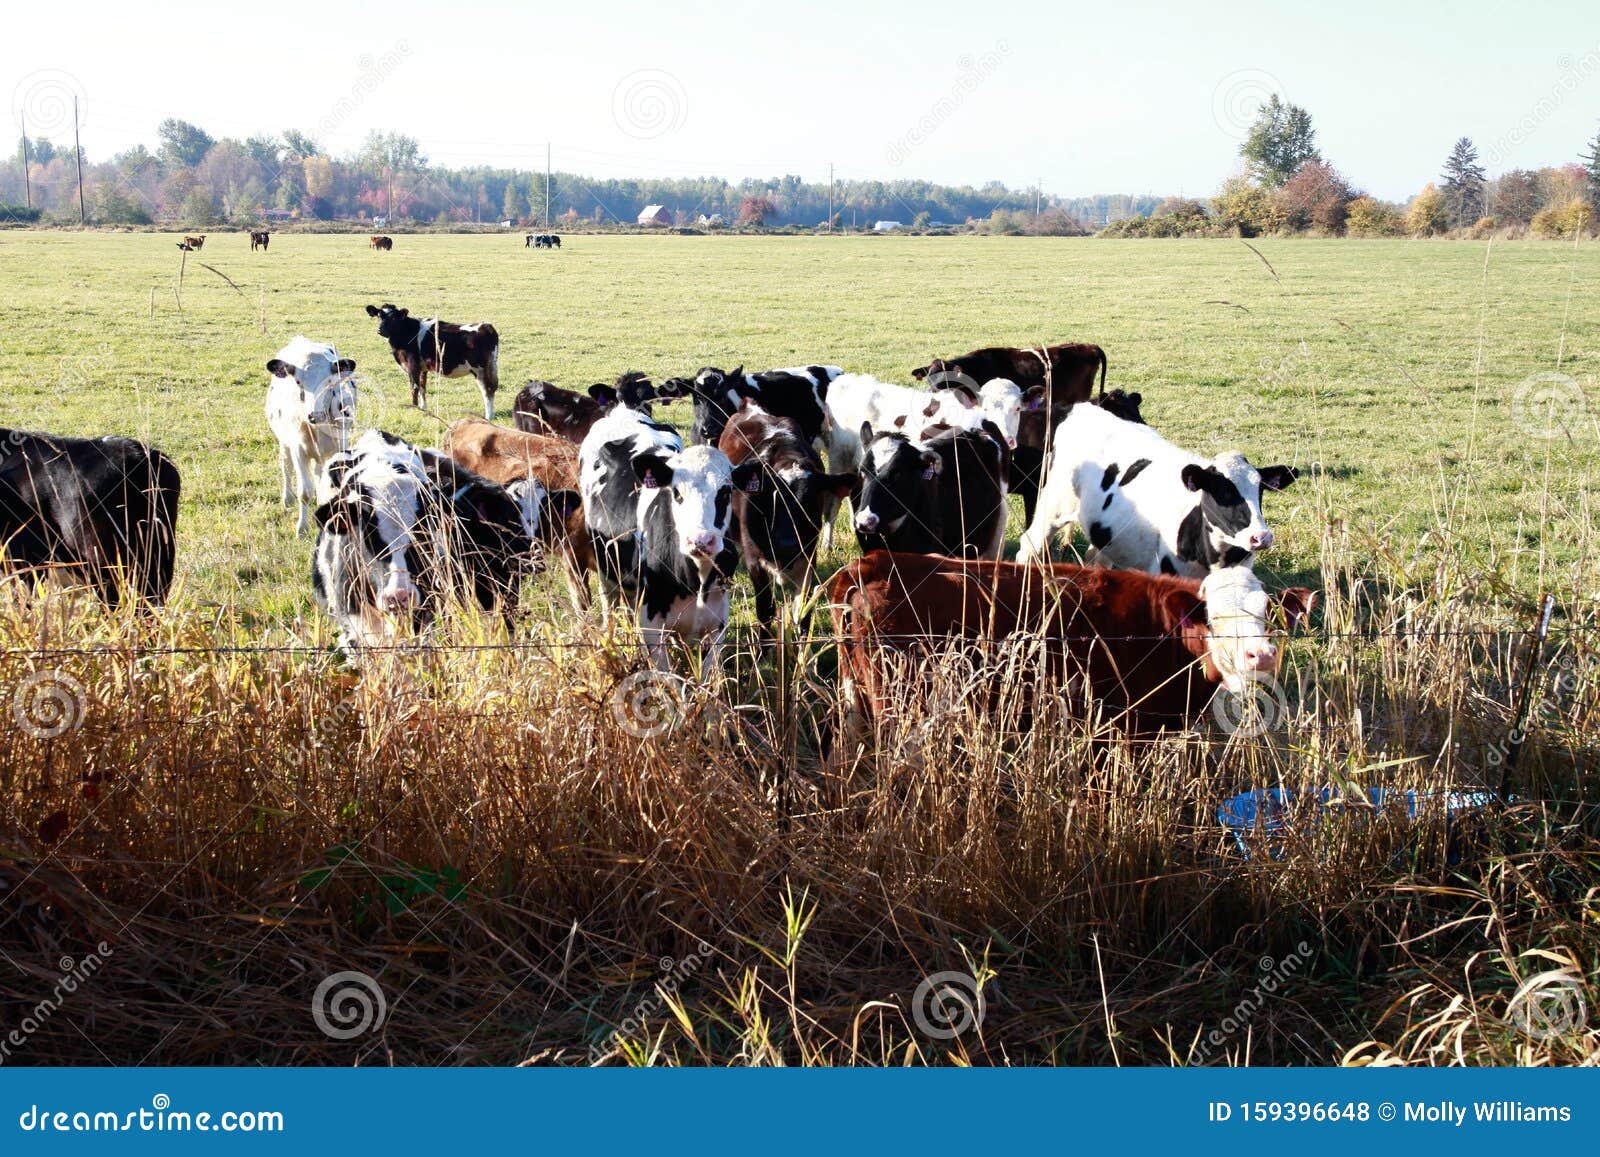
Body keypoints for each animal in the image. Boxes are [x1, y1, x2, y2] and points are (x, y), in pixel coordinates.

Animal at [265, 336, 358, 536]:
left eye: (330, 381)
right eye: (298, 382)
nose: (315, 415)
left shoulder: (340, 445)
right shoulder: (298, 450)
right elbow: (305, 492)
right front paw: (302, 528)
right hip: (284, 442)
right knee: (286, 466)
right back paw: (288, 498)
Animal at [365, 303, 501, 420]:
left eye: (393, 318)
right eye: (379, 316)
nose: (380, 330)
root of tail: (486, 326)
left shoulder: (412, 365)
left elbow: (414, 387)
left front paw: (414, 408)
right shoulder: (422, 368)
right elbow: (422, 387)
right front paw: (423, 408)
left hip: (480, 369)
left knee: (487, 390)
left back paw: (488, 416)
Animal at [578, 405, 745, 668]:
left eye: (726, 492)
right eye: (676, 492)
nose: (700, 540)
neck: (695, 581)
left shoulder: (718, 621)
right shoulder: (651, 624)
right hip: (606, 568)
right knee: (610, 606)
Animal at [717, 399, 857, 633]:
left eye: (810, 500)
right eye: (773, 498)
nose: (787, 543)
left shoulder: (808, 558)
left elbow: (803, 612)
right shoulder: (755, 560)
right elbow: (765, 610)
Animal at [1016, 403, 1296, 578]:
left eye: (1260, 491)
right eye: (1221, 491)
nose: (1260, 537)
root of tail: (1082, 410)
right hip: (1052, 509)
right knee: (1029, 546)